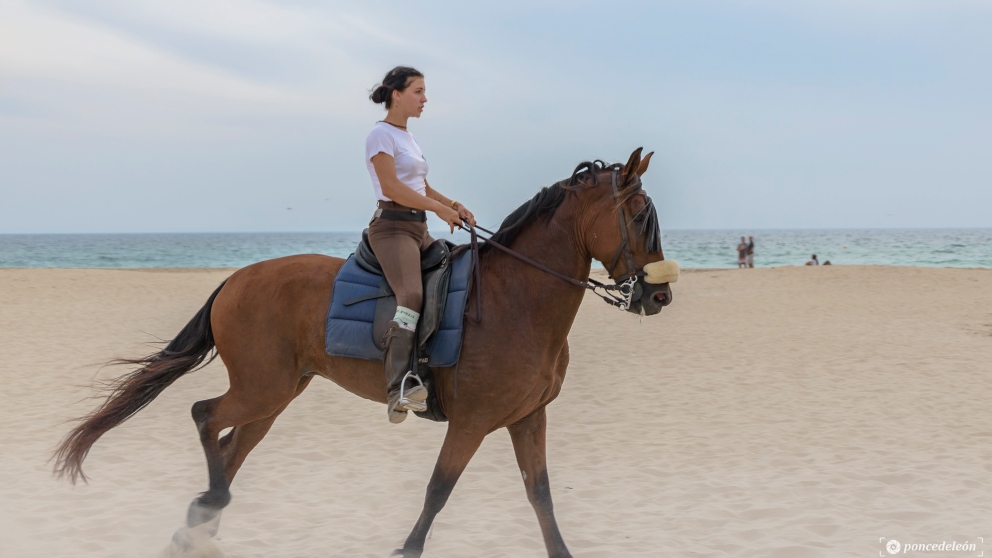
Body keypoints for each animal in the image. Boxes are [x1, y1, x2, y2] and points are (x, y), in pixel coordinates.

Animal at [54, 147, 676, 557]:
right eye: (639, 216)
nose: (660, 296)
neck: (515, 300)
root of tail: (236, 278)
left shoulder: (527, 417)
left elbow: (540, 495)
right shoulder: (472, 422)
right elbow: (438, 491)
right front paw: (406, 550)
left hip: (275, 396)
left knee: (230, 446)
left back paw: (199, 522)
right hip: (262, 389)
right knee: (205, 416)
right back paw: (210, 506)